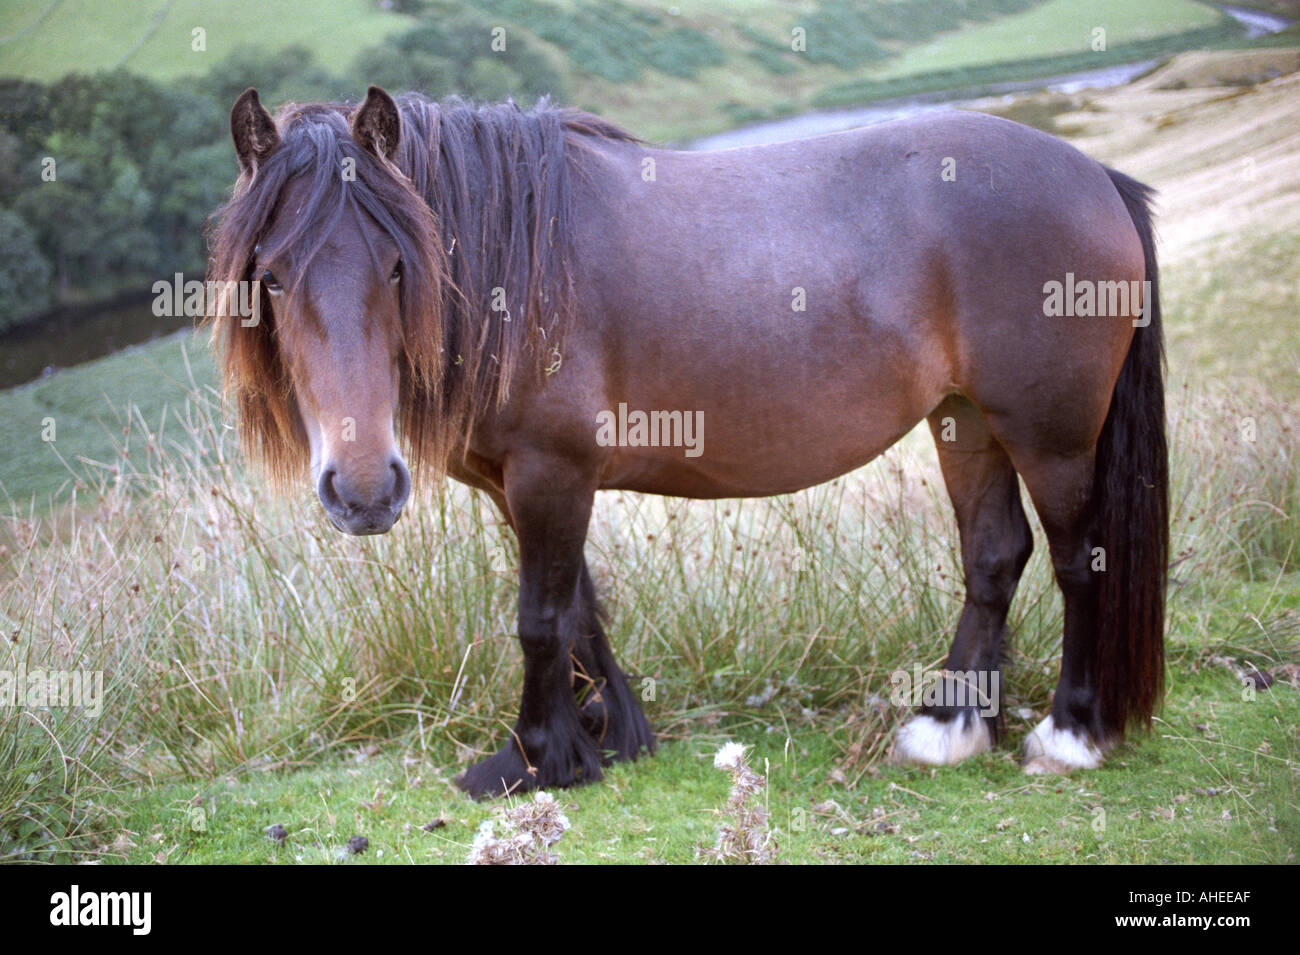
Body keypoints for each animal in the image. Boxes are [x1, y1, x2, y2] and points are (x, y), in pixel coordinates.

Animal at [208, 85, 1167, 798]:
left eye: (401, 264)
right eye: (273, 275)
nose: (364, 490)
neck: (518, 266)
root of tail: (1094, 175)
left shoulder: (552, 471)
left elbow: (539, 616)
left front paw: (537, 757)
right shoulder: (525, 483)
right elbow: (579, 607)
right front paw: (606, 737)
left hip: (1049, 435)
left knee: (1077, 560)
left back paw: (1070, 732)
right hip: (965, 419)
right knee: (994, 556)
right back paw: (948, 726)